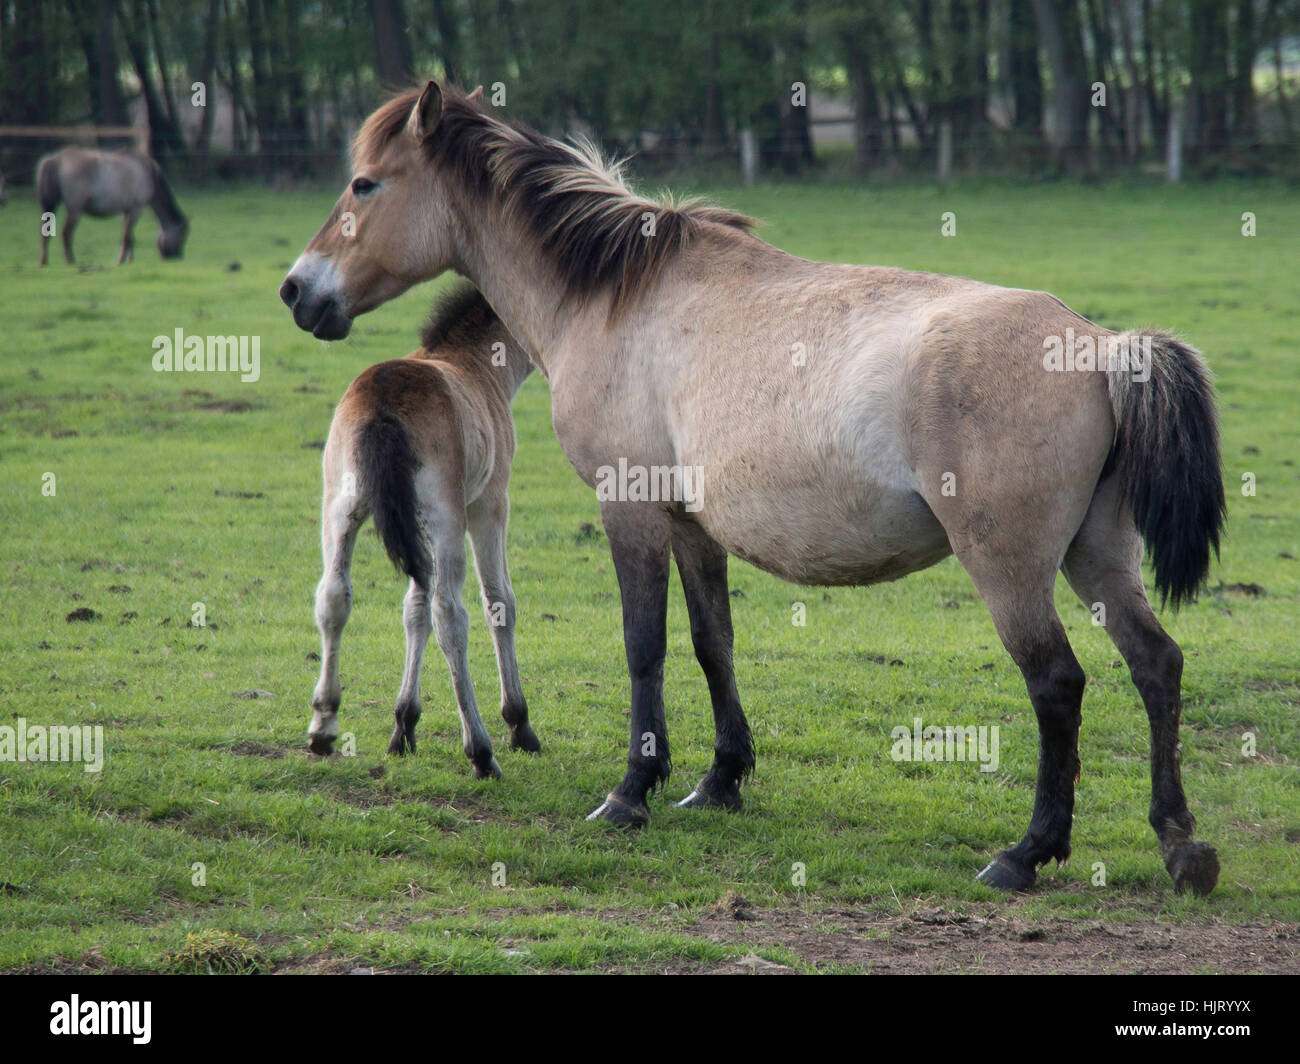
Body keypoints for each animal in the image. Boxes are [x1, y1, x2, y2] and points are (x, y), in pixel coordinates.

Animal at [36, 147, 188, 265]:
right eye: (181, 237)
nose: (177, 257)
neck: (148, 173)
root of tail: (57, 160)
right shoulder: (136, 209)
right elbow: (127, 236)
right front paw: (121, 260)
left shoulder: (127, 211)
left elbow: (129, 235)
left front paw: (128, 258)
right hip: (74, 210)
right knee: (66, 233)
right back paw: (70, 260)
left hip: (50, 208)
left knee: (45, 233)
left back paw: (43, 261)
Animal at [309, 283, 540, 779]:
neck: (473, 360)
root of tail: (381, 406)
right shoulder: (490, 504)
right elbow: (499, 601)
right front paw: (519, 723)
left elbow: (412, 608)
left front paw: (404, 724)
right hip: (448, 518)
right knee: (450, 614)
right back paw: (481, 751)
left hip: (339, 510)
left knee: (334, 596)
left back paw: (323, 725)